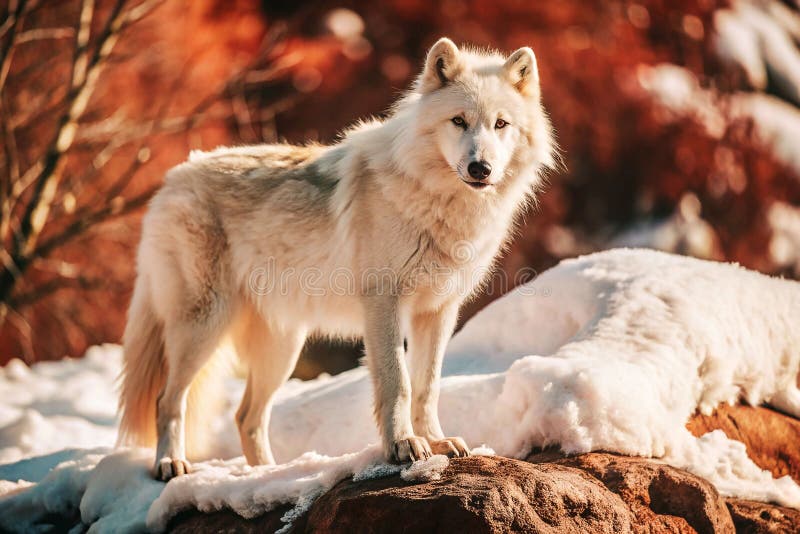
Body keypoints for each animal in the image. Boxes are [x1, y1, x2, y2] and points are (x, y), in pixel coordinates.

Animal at [117, 37, 557, 480]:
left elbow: (427, 386)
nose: (480, 168)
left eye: (500, 124)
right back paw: (171, 463)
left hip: (283, 349)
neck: (440, 203)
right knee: (167, 400)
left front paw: (436, 442)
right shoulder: (384, 303)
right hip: (204, 326)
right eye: (459, 121)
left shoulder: (438, 311)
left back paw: (269, 475)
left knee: (247, 417)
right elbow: (398, 383)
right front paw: (402, 446)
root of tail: (174, 177)